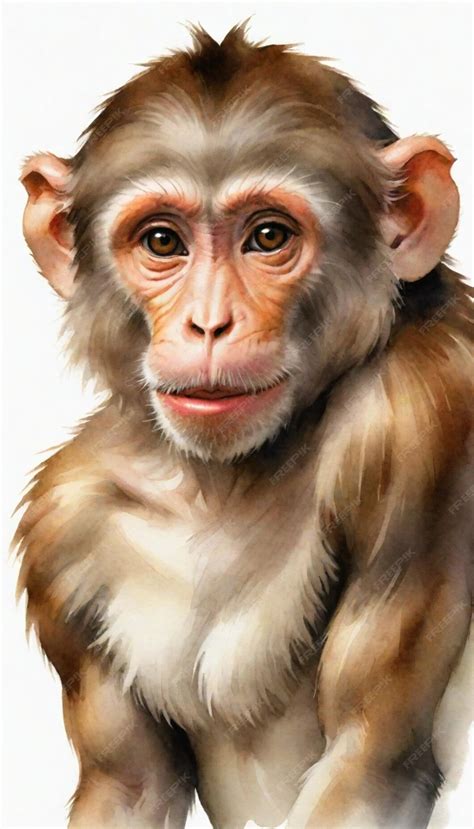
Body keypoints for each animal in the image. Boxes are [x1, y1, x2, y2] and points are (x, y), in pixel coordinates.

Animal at [16, 22, 472, 829]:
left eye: (267, 236)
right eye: (162, 243)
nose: (208, 323)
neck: (227, 479)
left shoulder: (420, 423)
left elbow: (367, 757)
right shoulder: (58, 529)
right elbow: (128, 784)